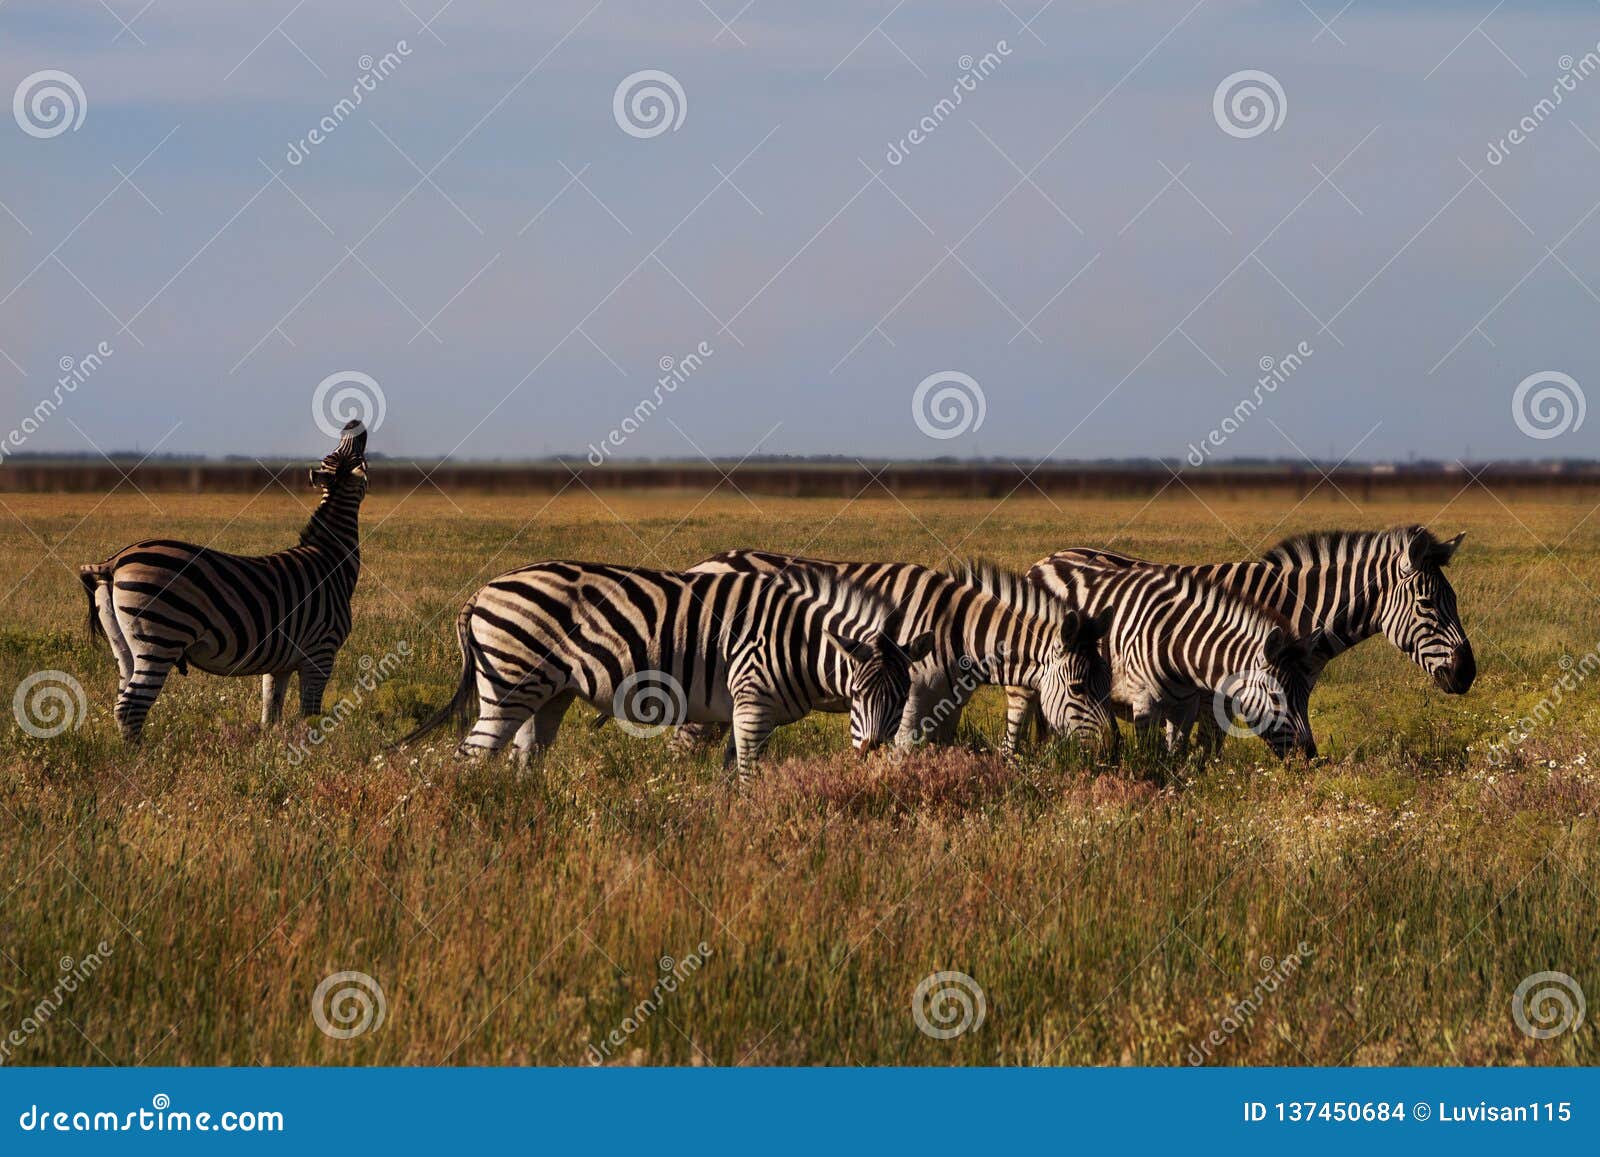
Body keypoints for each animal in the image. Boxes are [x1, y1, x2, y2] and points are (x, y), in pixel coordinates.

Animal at [78, 420, 369, 743]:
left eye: (334, 453)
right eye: (352, 456)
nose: (353, 423)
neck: (331, 559)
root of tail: (114, 561)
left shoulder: (280, 662)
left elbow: (272, 710)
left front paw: (270, 746)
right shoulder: (321, 652)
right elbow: (311, 714)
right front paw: (311, 746)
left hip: (124, 646)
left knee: (121, 701)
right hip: (161, 639)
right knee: (131, 705)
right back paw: (141, 755)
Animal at [397, 561, 935, 775]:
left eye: (900, 698)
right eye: (858, 693)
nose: (873, 754)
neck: (798, 642)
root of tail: (481, 592)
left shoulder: (740, 712)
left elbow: (730, 774)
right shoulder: (752, 701)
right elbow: (749, 774)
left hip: (548, 692)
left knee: (524, 757)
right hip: (510, 683)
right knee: (470, 758)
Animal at [676, 551, 1119, 756]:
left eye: (1107, 684)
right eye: (1078, 688)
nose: (1113, 750)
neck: (956, 630)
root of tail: (701, 564)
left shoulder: (945, 709)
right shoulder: (908, 706)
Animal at [970, 562, 1321, 760]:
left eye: (1306, 695)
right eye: (1276, 697)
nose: (1311, 757)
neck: (1180, 647)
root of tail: (1037, 566)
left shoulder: (1185, 706)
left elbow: (1174, 753)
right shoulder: (1145, 703)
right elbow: (1149, 753)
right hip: (1023, 684)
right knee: (1013, 735)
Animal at [1009, 525, 1472, 753]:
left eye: (1454, 599)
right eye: (1428, 604)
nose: (1467, 673)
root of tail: (1046, 559)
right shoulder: (1219, 698)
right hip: (1025, 687)